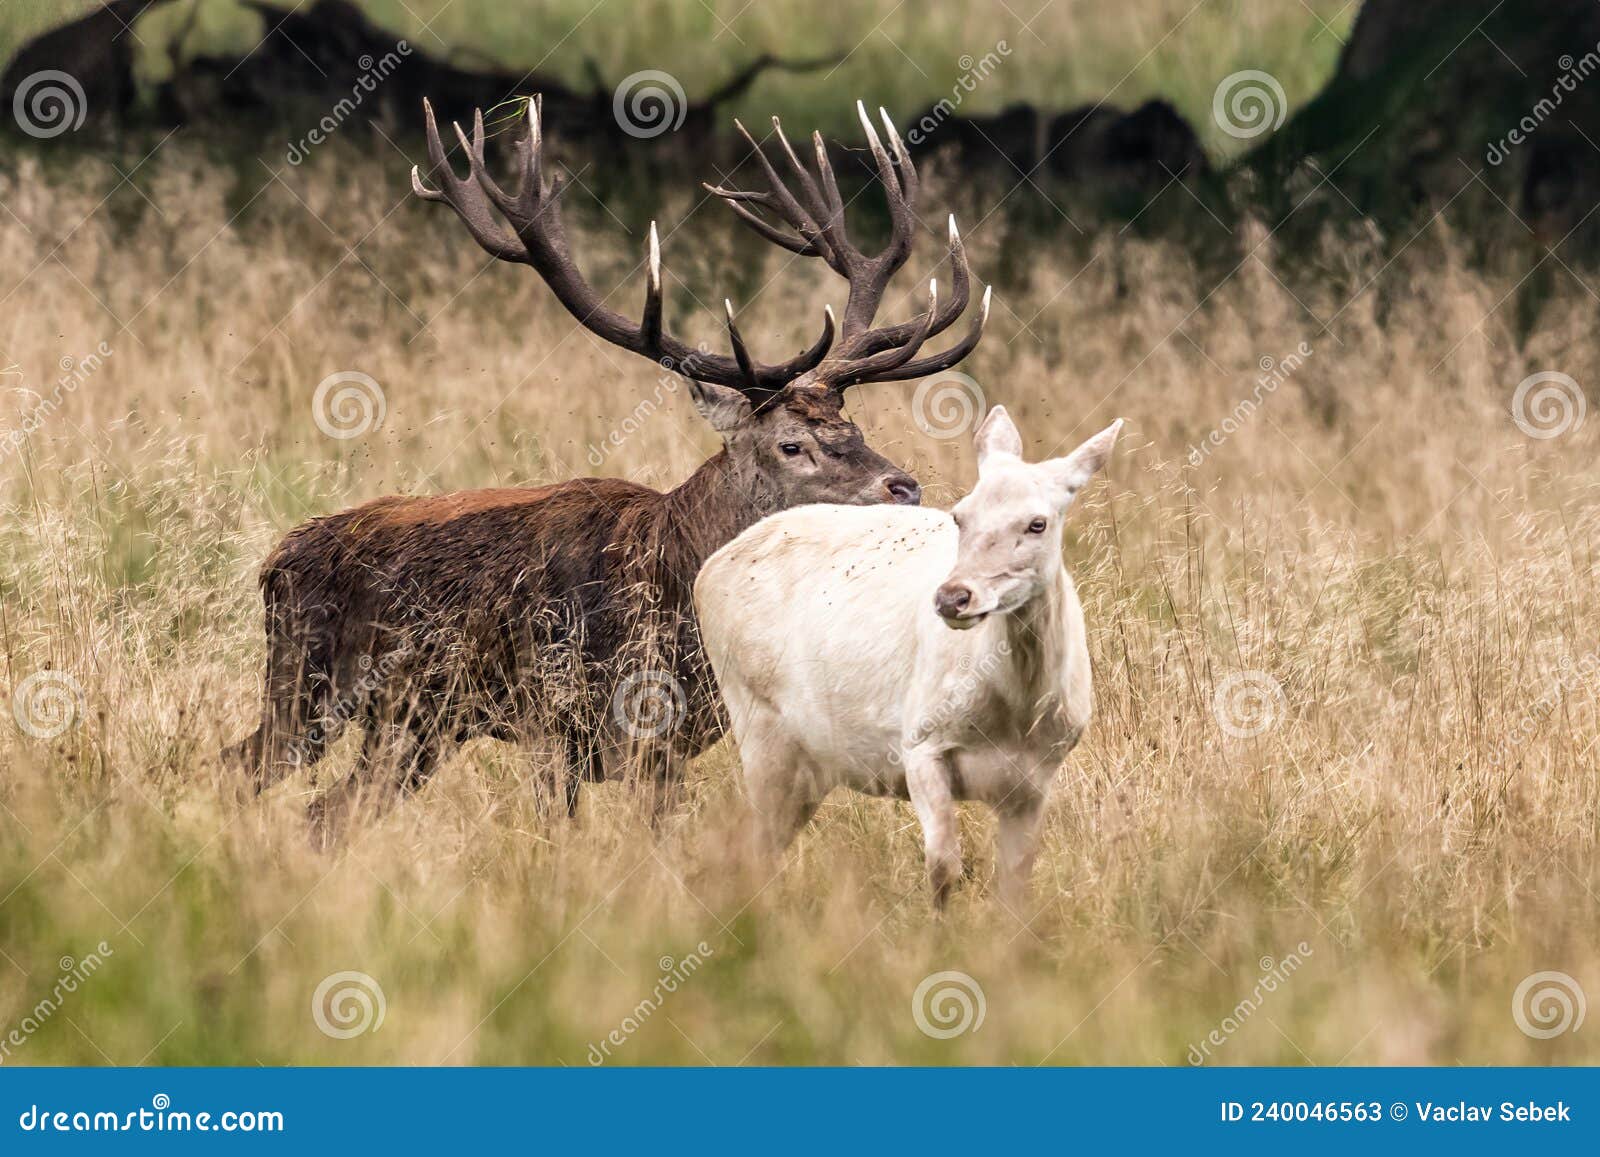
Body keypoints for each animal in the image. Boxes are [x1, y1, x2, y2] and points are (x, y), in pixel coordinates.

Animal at [222, 95, 991, 846]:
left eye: (854, 427)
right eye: (790, 445)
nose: (905, 486)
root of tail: (277, 559)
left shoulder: (671, 741)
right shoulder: (555, 714)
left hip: (415, 723)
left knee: (324, 814)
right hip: (308, 680)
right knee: (241, 766)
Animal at [694, 406, 1121, 909]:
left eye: (1037, 523)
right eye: (960, 516)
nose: (953, 598)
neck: (1014, 715)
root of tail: (708, 569)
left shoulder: (1040, 774)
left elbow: (1015, 884)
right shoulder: (920, 742)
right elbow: (943, 868)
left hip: (810, 763)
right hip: (757, 723)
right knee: (754, 844)